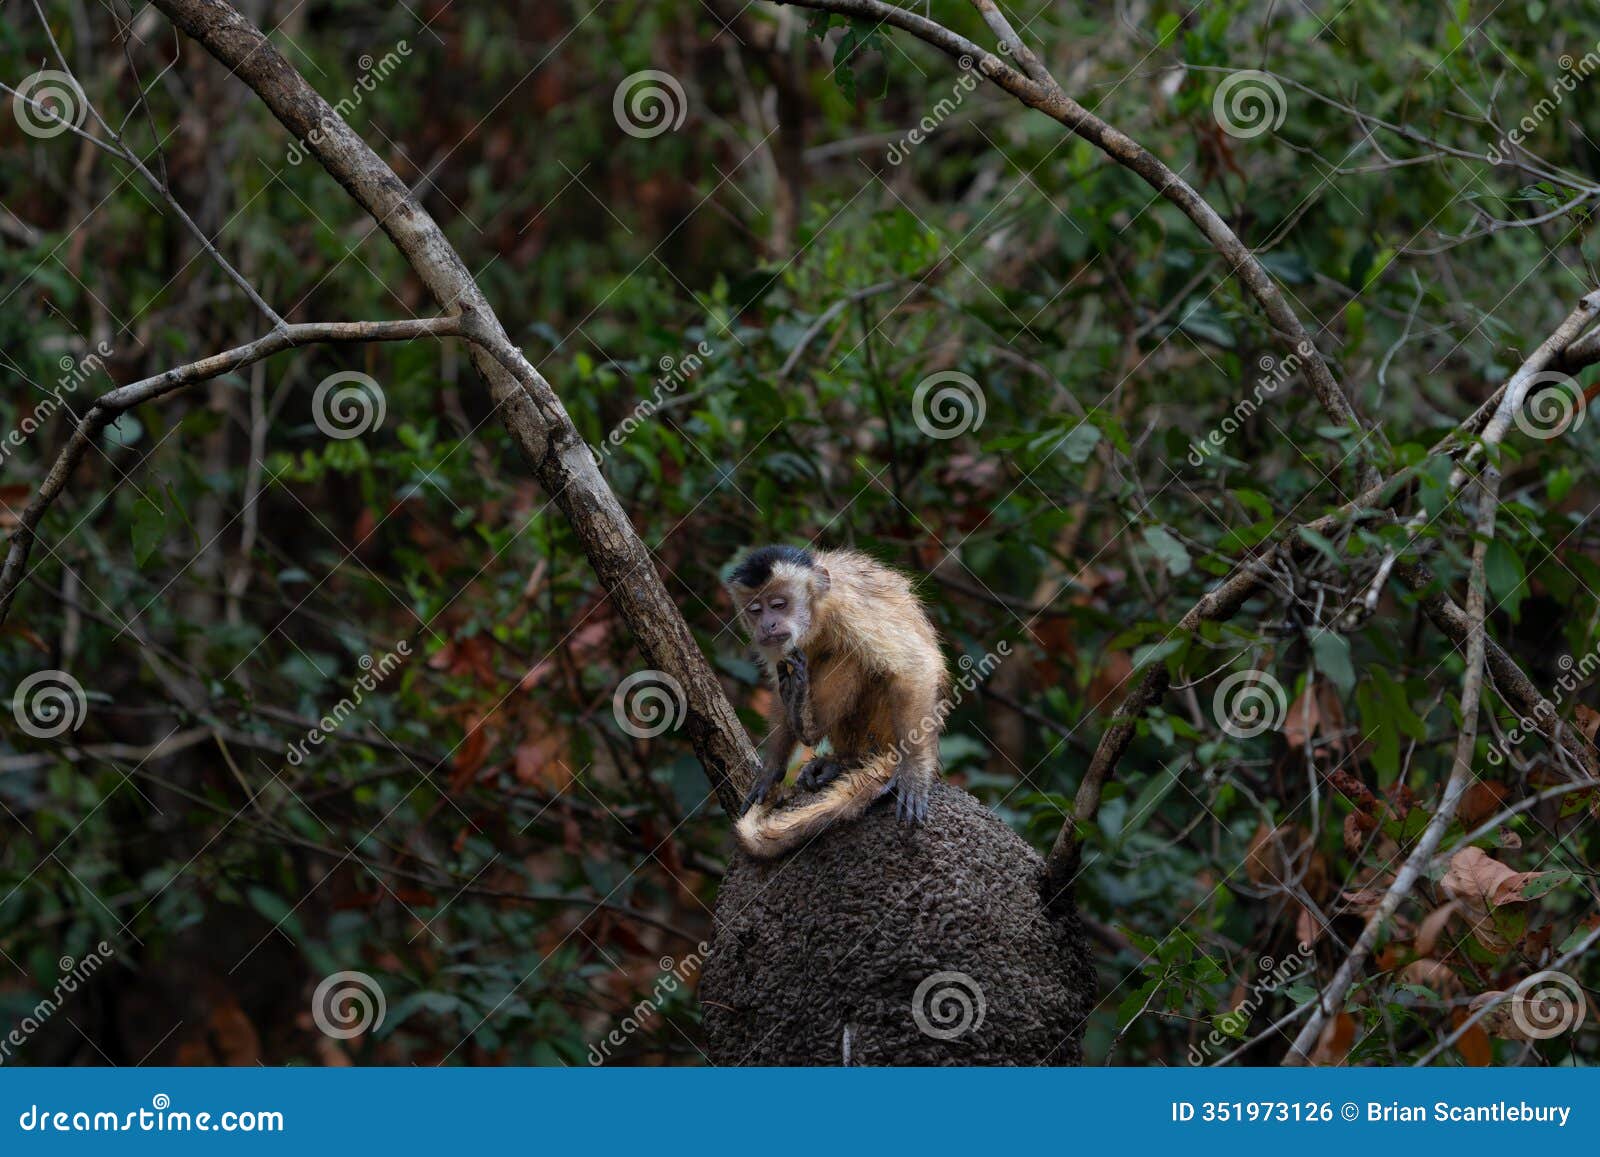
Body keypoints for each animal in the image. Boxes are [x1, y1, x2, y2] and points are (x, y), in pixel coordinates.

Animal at [725, 544, 949, 858]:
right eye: (755, 610)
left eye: (778, 604)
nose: (767, 625)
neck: (819, 613)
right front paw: (771, 771)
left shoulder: (851, 607)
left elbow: (914, 667)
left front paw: (914, 773)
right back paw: (826, 744)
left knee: (852, 655)